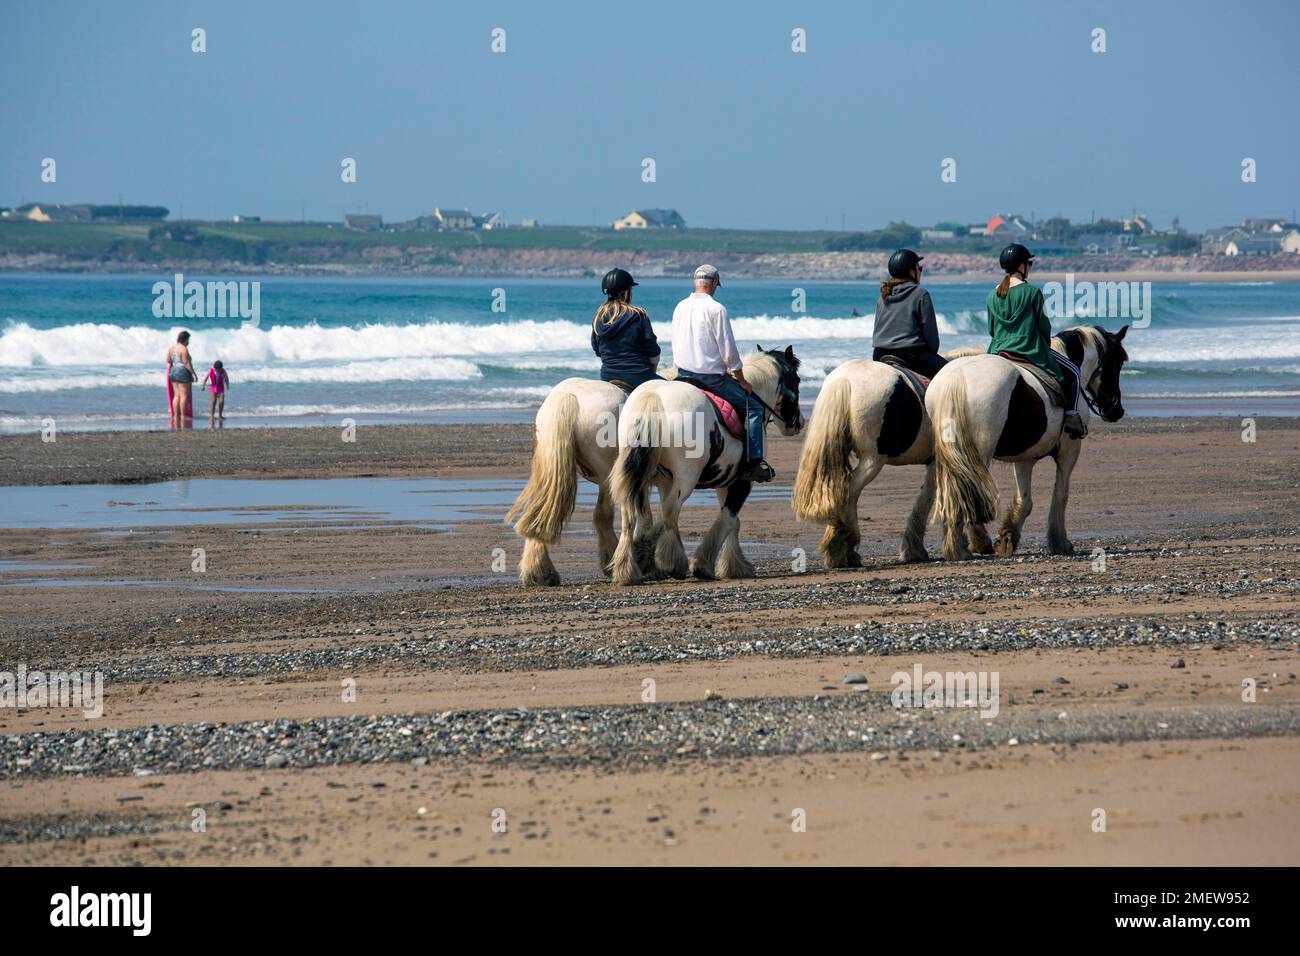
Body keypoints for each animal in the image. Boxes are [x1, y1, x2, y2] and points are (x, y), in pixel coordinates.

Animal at [505, 378, 625, 586]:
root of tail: (568, 396)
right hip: (607, 473)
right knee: (604, 514)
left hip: (546, 467)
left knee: (538, 512)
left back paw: (540, 571)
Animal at [608, 347, 805, 585]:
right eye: (797, 380)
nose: (798, 423)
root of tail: (653, 397)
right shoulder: (740, 482)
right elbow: (729, 519)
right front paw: (707, 564)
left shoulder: (704, 480)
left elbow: (732, 521)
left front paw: (732, 565)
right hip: (686, 478)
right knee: (670, 511)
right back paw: (672, 563)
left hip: (639, 477)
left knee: (632, 514)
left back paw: (629, 567)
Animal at [791, 347, 983, 568]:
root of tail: (845, 379)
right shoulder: (942, 461)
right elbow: (935, 496)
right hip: (873, 460)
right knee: (850, 490)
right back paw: (843, 543)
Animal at [926, 325, 1129, 561]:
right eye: (1118, 362)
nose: (1116, 410)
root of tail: (956, 376)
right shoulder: (1069, 451)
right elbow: (1060, 495)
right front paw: (1060, 542)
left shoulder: (1025, 458)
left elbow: (1025, 501)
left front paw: (1007, 537)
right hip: (978, 453)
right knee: (969, 492)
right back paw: (969, 544)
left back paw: (959, 544)